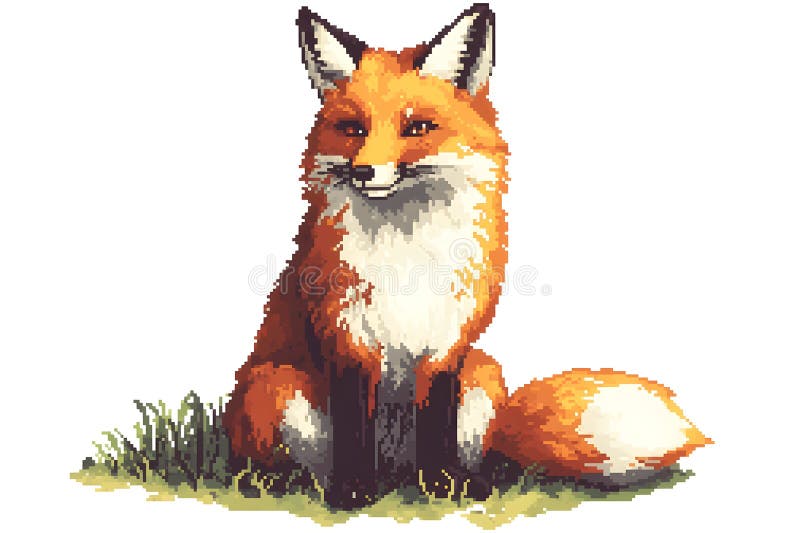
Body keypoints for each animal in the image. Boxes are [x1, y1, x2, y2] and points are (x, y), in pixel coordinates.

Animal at [223, 4, 710, 509]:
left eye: (416, 128)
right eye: (353, 129)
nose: (363, 171)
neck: (406, 253)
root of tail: (394, 466)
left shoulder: (447, 341)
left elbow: (437, 424)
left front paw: (442, 485)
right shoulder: (345, 335)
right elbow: (353, 427)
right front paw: (353, 490)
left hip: (483, 373)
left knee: (478, 455)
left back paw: (466, 480)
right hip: (273, 384)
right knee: (284, 468)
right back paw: (294, 483)